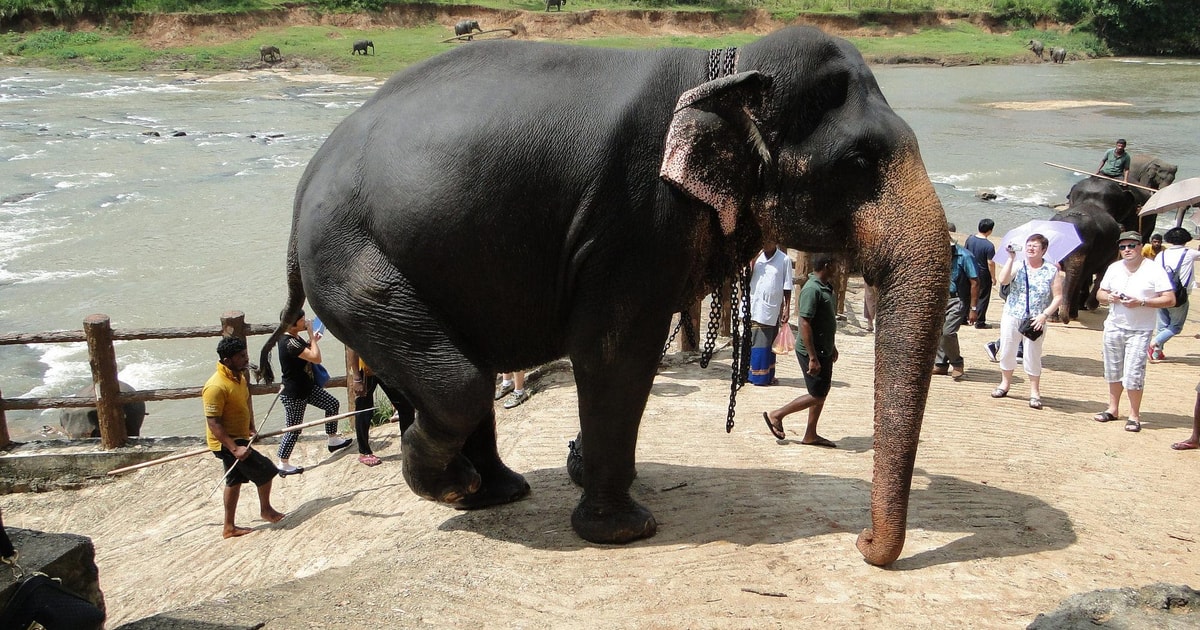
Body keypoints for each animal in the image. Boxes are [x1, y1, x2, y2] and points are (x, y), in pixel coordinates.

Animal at [260, 27, 950, 567]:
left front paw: (583, 470)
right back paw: (453, 485)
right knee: (458, 381)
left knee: (456, 371)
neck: (725, 64)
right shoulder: (633, 218)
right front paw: (625, 531)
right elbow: (616, 354)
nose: (862, 544)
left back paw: (492, 489)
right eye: (858, 161)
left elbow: (617, 356)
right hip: (352, 259)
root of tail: (302, 190)